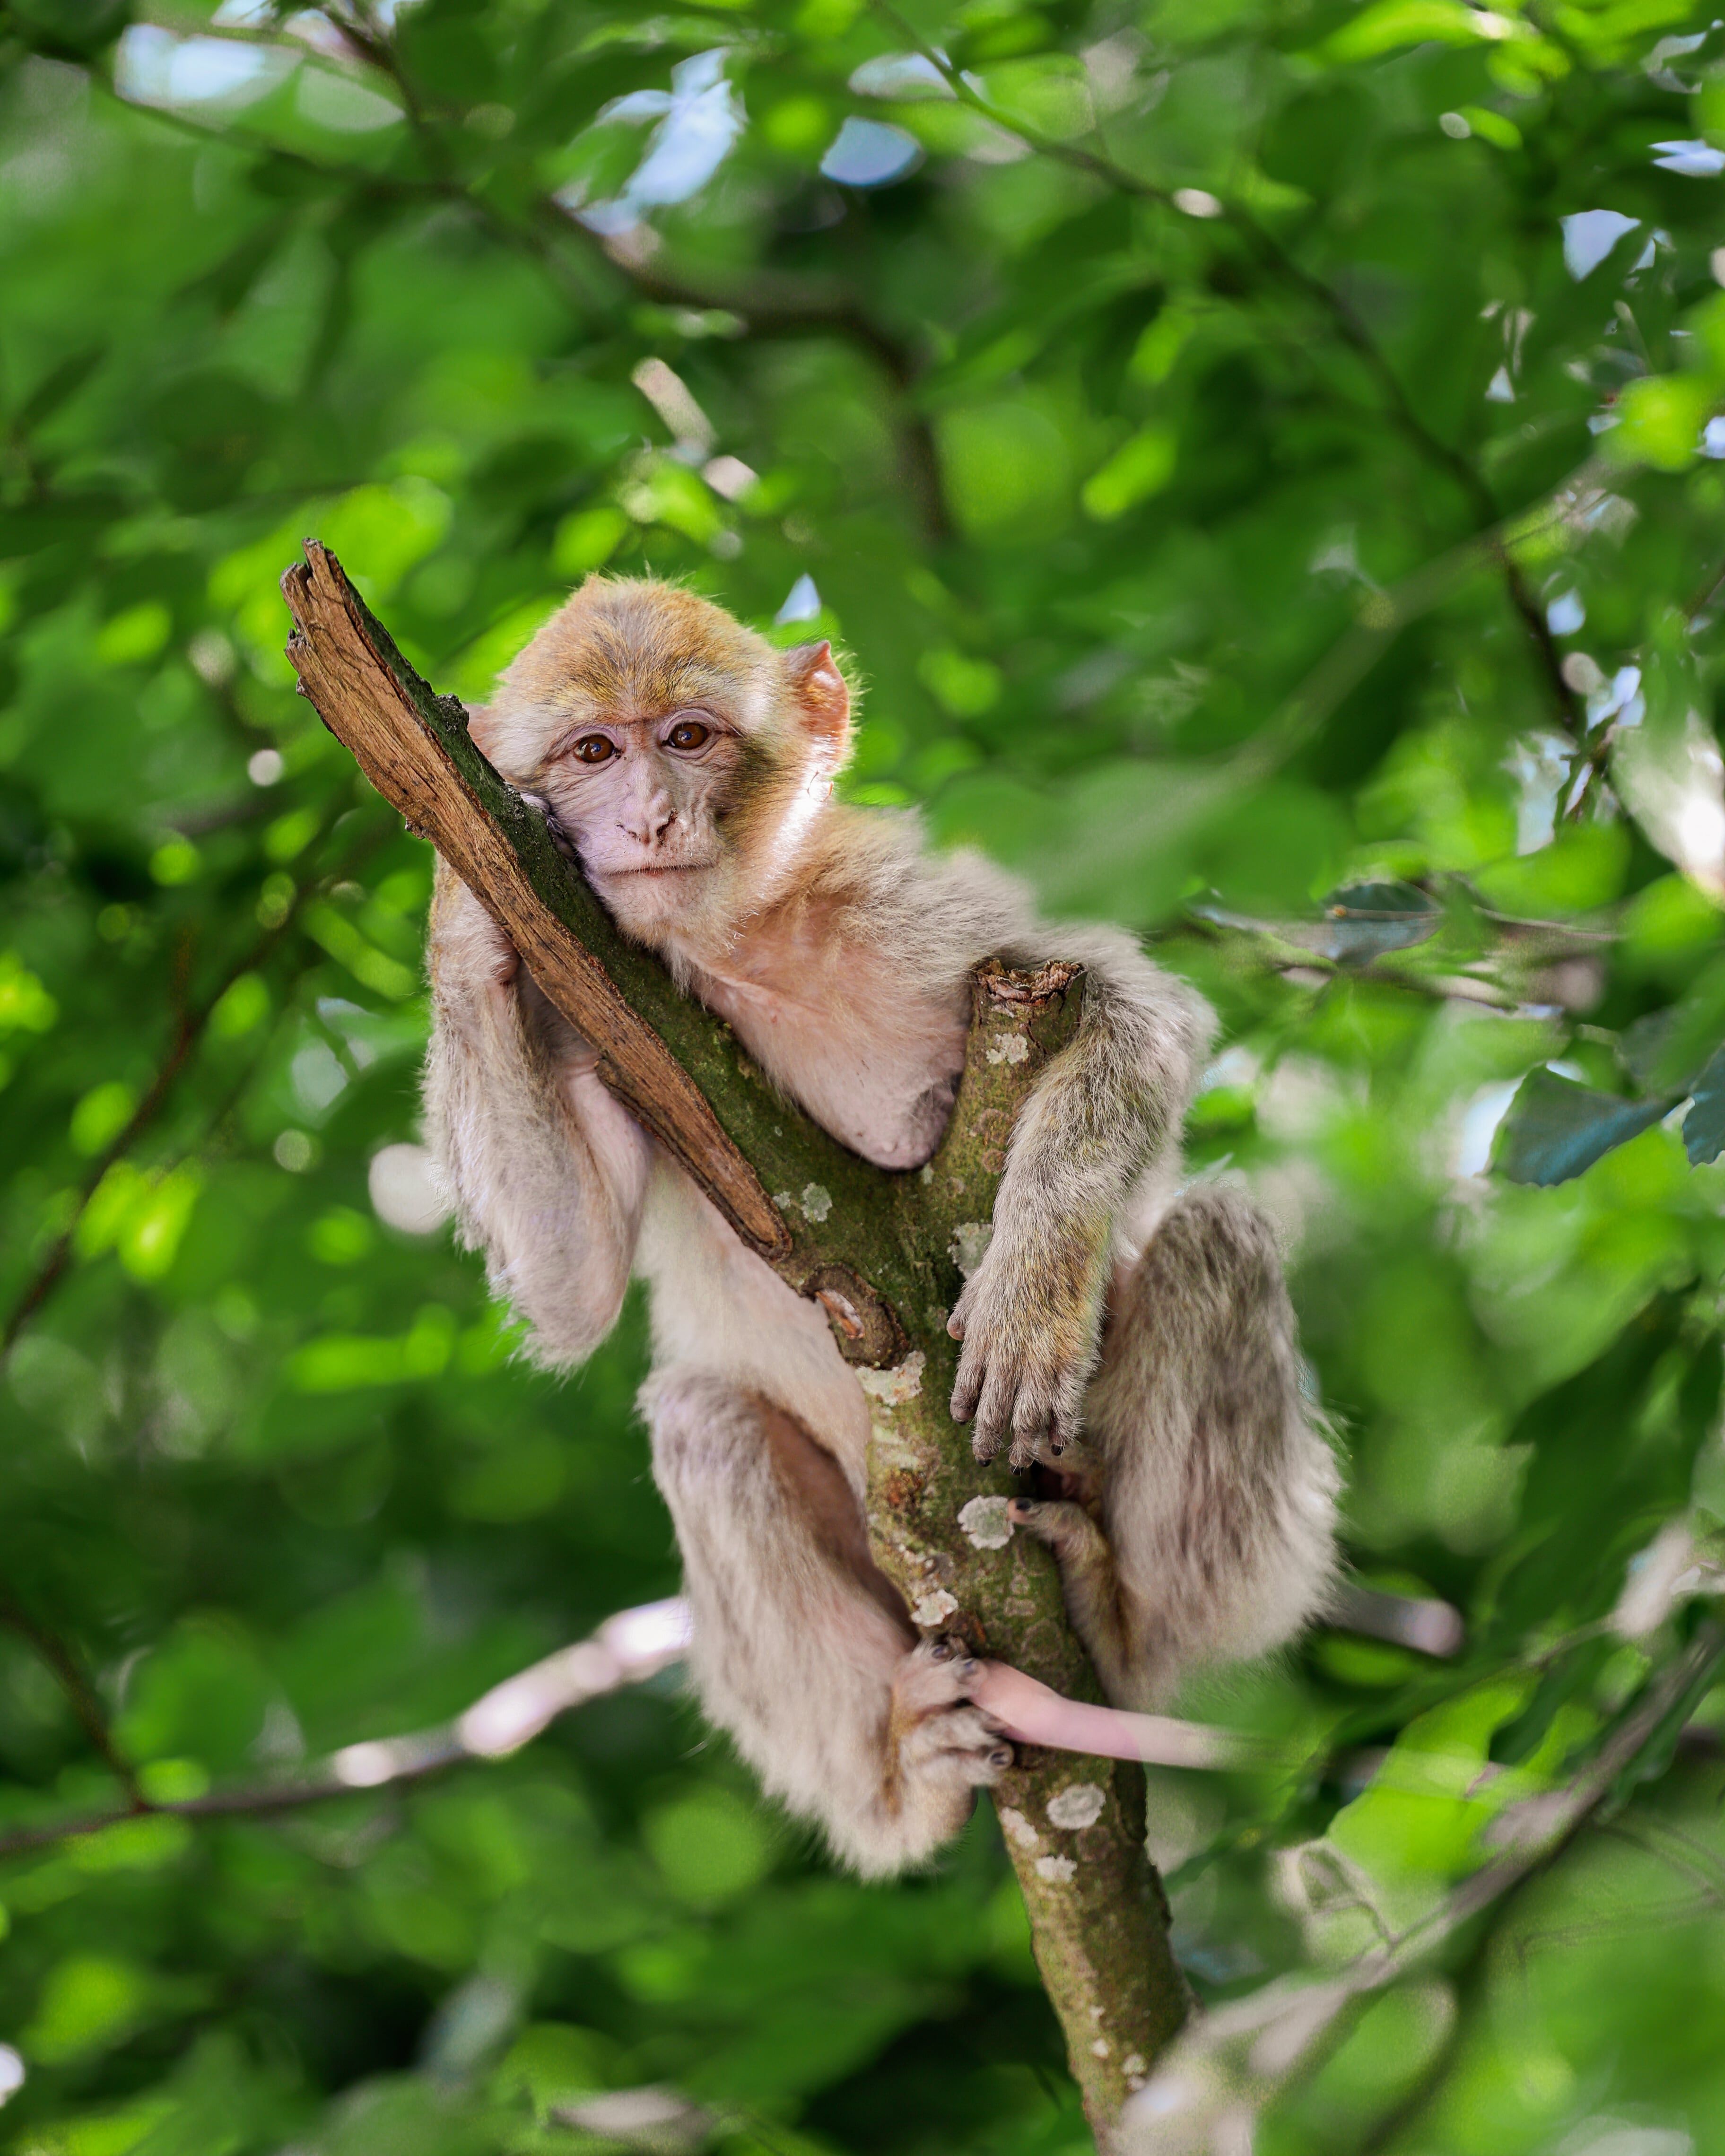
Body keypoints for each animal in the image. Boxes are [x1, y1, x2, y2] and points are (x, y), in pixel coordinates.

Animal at [423, 577, 1338, 1877]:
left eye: (688, 738)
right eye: (594, 751)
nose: (649, 818)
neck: (732, 940)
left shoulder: (907, 903)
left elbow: (1136, 1007)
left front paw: (1028, 1296)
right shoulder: (579, 1002)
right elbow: (567, 1285)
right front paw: (462, 902)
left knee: (1219, 1231)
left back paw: (1119, 1616)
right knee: (703, 1421)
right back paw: (905, 1780)